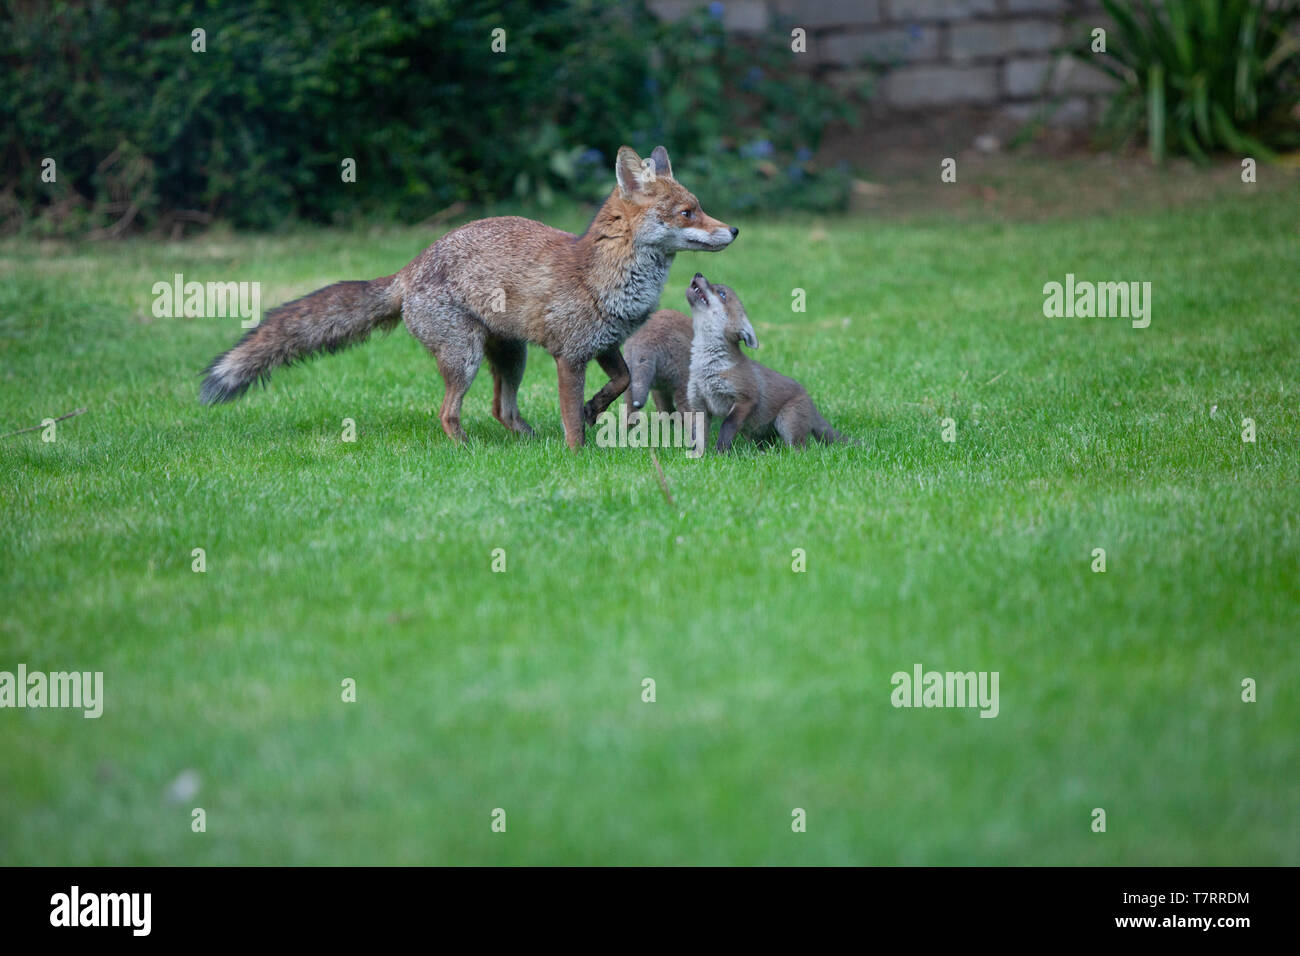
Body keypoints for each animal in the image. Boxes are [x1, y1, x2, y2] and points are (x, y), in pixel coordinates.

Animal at [199, 146, 737, 449]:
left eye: (701, 208)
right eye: (688, 212)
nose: (732, 229)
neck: (607, 274)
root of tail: (411, 267)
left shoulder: (603, 344)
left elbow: (621, 383)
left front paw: (593, 410)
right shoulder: (569, 355)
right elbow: (571, 418)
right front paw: (576, 452)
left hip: (512, 356)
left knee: (503, 410)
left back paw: (525, 443)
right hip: (466, 358)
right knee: (449, 413)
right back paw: (466, 450)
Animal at [684, 274, 850, 451]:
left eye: (722, 293)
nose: (698, 274)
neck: (707, 367)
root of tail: (810, 400)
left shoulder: (745, 399)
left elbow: (727, 426)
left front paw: (721, 451)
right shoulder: (698, 403)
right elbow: (698, 437)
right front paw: (698, 454)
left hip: (786, 423)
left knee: (801, 449)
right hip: (755, 432)